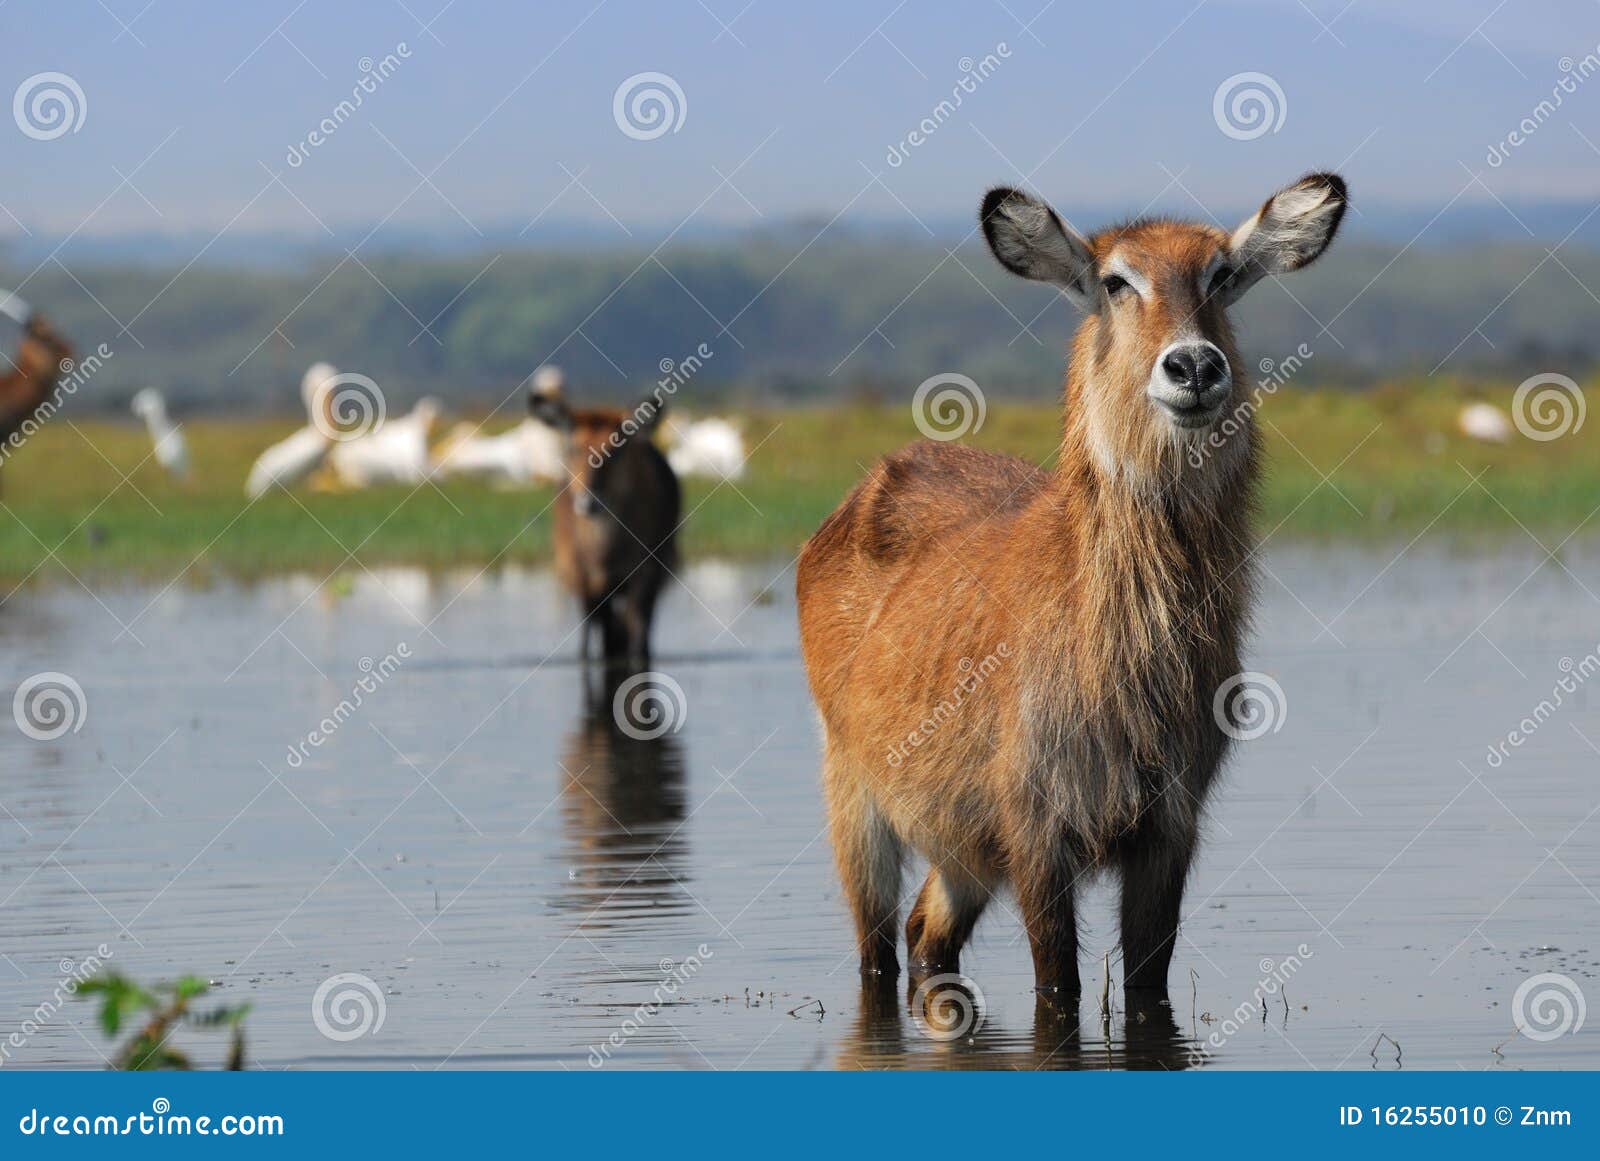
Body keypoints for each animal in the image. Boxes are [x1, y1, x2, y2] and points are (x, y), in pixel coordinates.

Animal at [530, 386, 681, 666]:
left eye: (616, 449)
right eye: (573, 448)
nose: (589, 501)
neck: (603, 553)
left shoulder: (644, 577)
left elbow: (638, 639)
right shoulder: (582, 580)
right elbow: (588, 641)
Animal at [797, 173, 1347, 999]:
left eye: (1220, 275)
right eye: (1117, 282)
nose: (1193, 367)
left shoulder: (1168, 829)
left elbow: (1148, 985)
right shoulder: (1037, 830)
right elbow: (1059, 985)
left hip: (961, 848)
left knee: (927, 931)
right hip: (856, 803)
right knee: (877, 949)